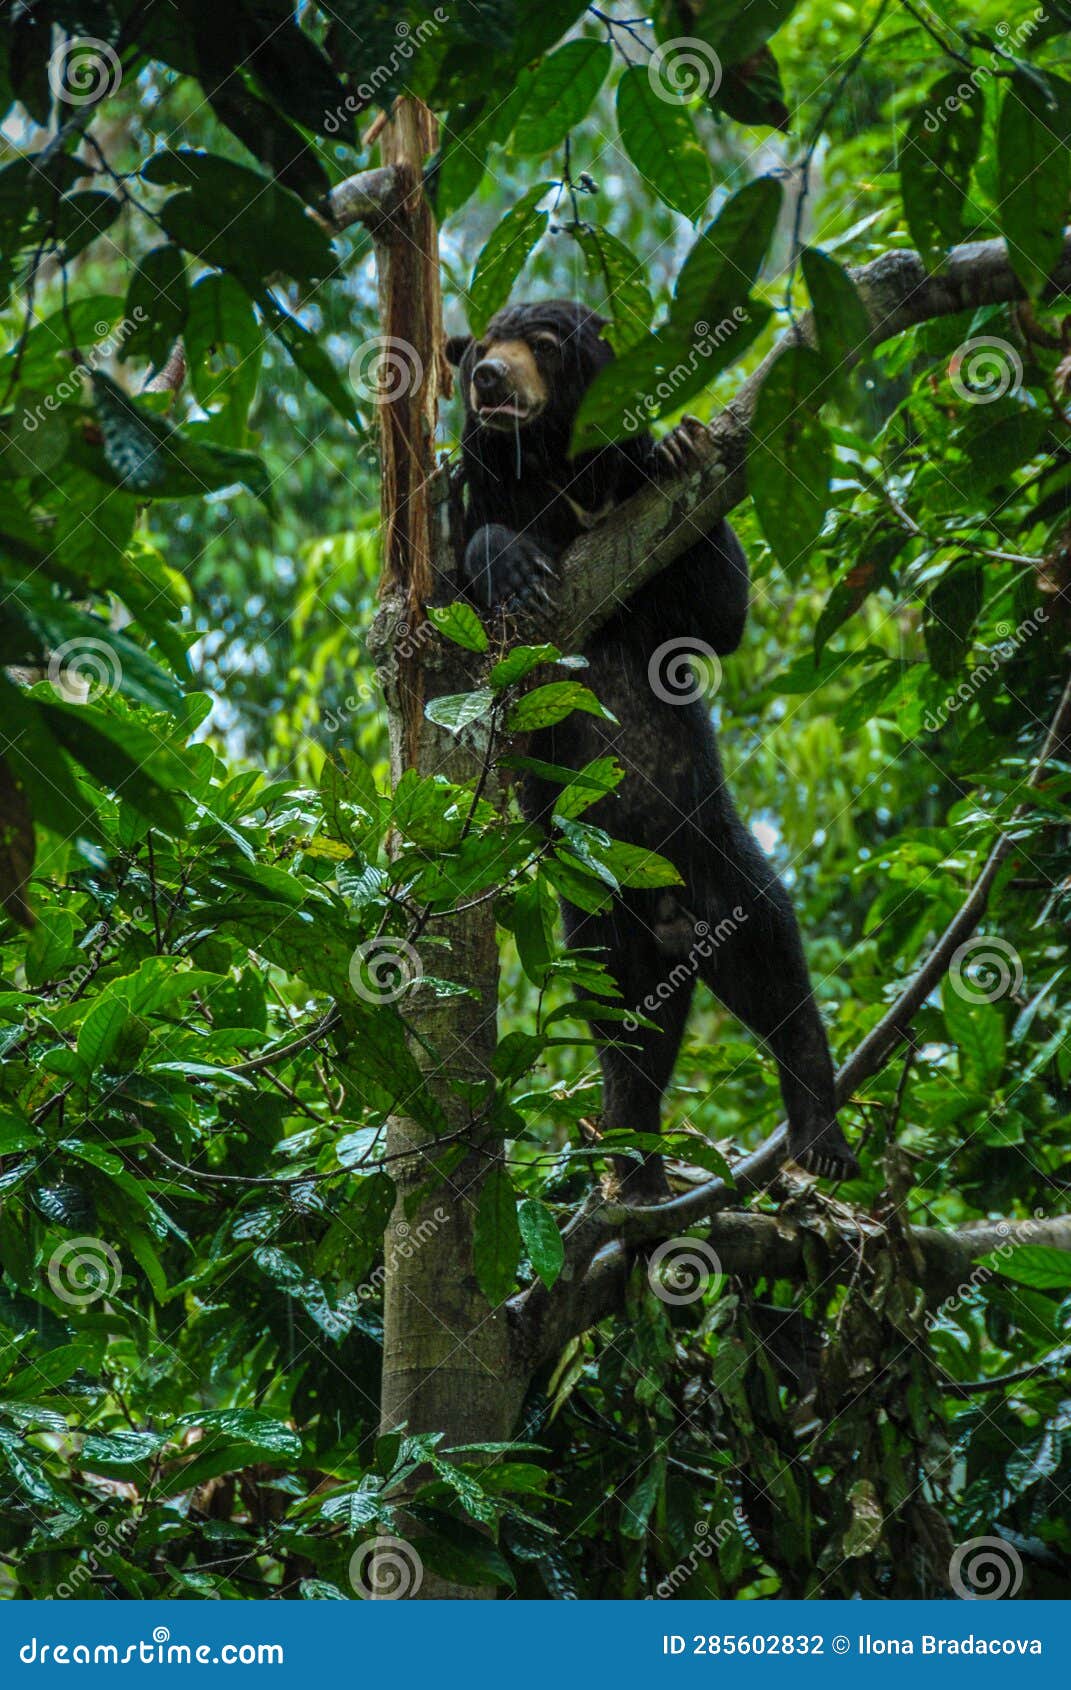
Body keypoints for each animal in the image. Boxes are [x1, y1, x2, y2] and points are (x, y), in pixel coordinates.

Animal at [445, 298, 858, 1198]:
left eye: (543, 343)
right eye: (480, 347)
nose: (489, 378)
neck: (556, 471)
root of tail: (669, 922)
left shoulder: (638, 516)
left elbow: (718, 609)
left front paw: (678, 446)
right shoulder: (468, 497)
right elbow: (460, 599)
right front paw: (515, 567)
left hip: (718, 856)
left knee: (775, 966)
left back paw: (819, 1137)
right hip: (598, 927)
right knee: (623, 1027)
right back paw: (631, 1161)